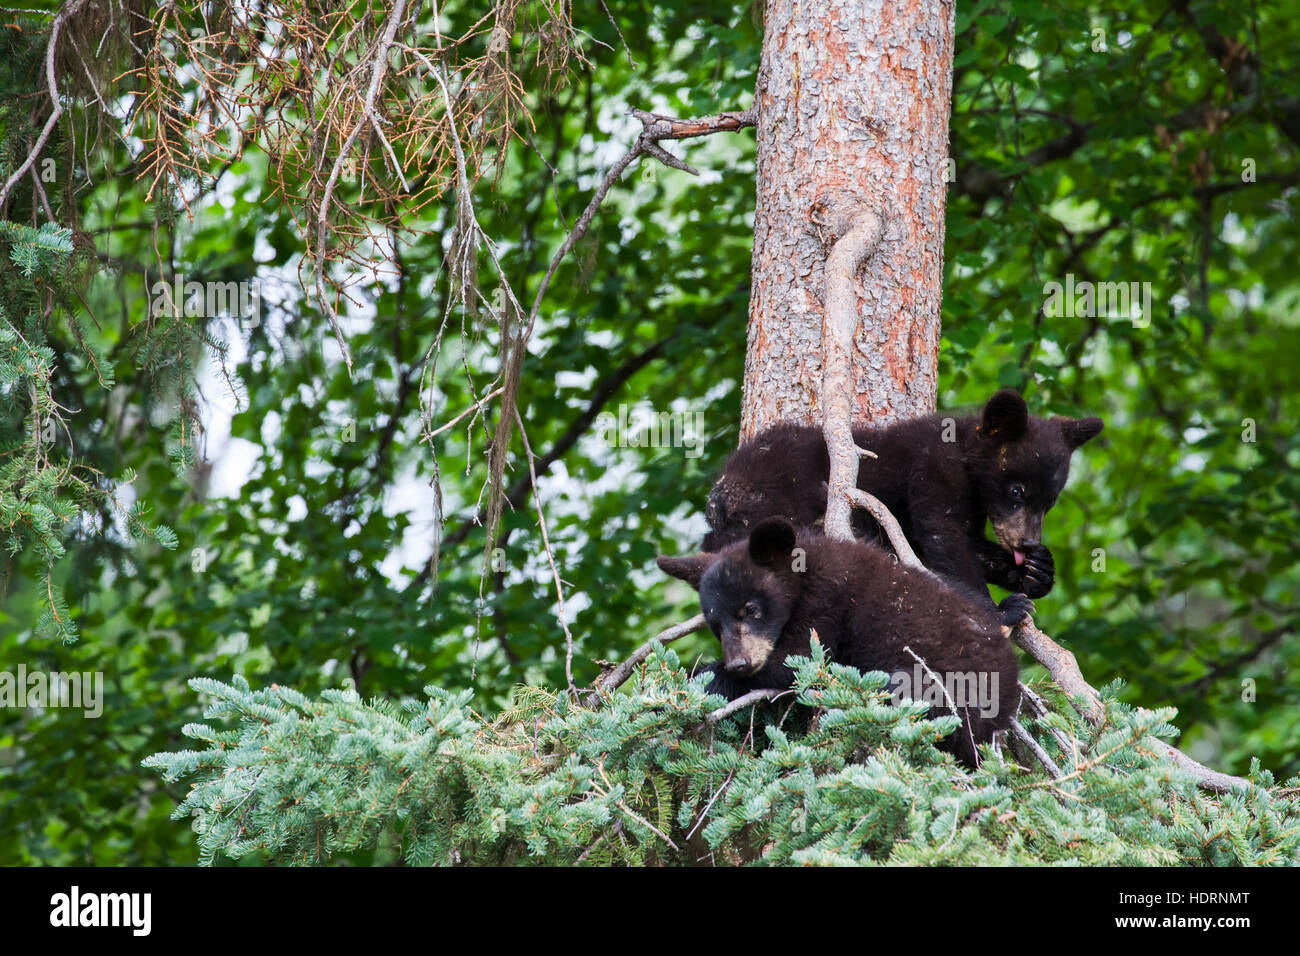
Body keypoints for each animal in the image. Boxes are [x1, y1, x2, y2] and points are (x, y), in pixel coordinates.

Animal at [658, 517, 1024, 768]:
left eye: (751, 609)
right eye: (715, 625)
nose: (739, 663)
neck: (806, 573)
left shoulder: (825, 603)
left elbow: (798, 661)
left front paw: (701, 680)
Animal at [700, 389, 1103, 610]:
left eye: (1050, 502)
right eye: (1016, 491)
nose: (1027, 542)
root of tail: (720, 488)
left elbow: (967, 542)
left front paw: (1037, 571)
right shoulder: (934, 467)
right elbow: (943, 535)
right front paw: (999, 612)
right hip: (770, 499)